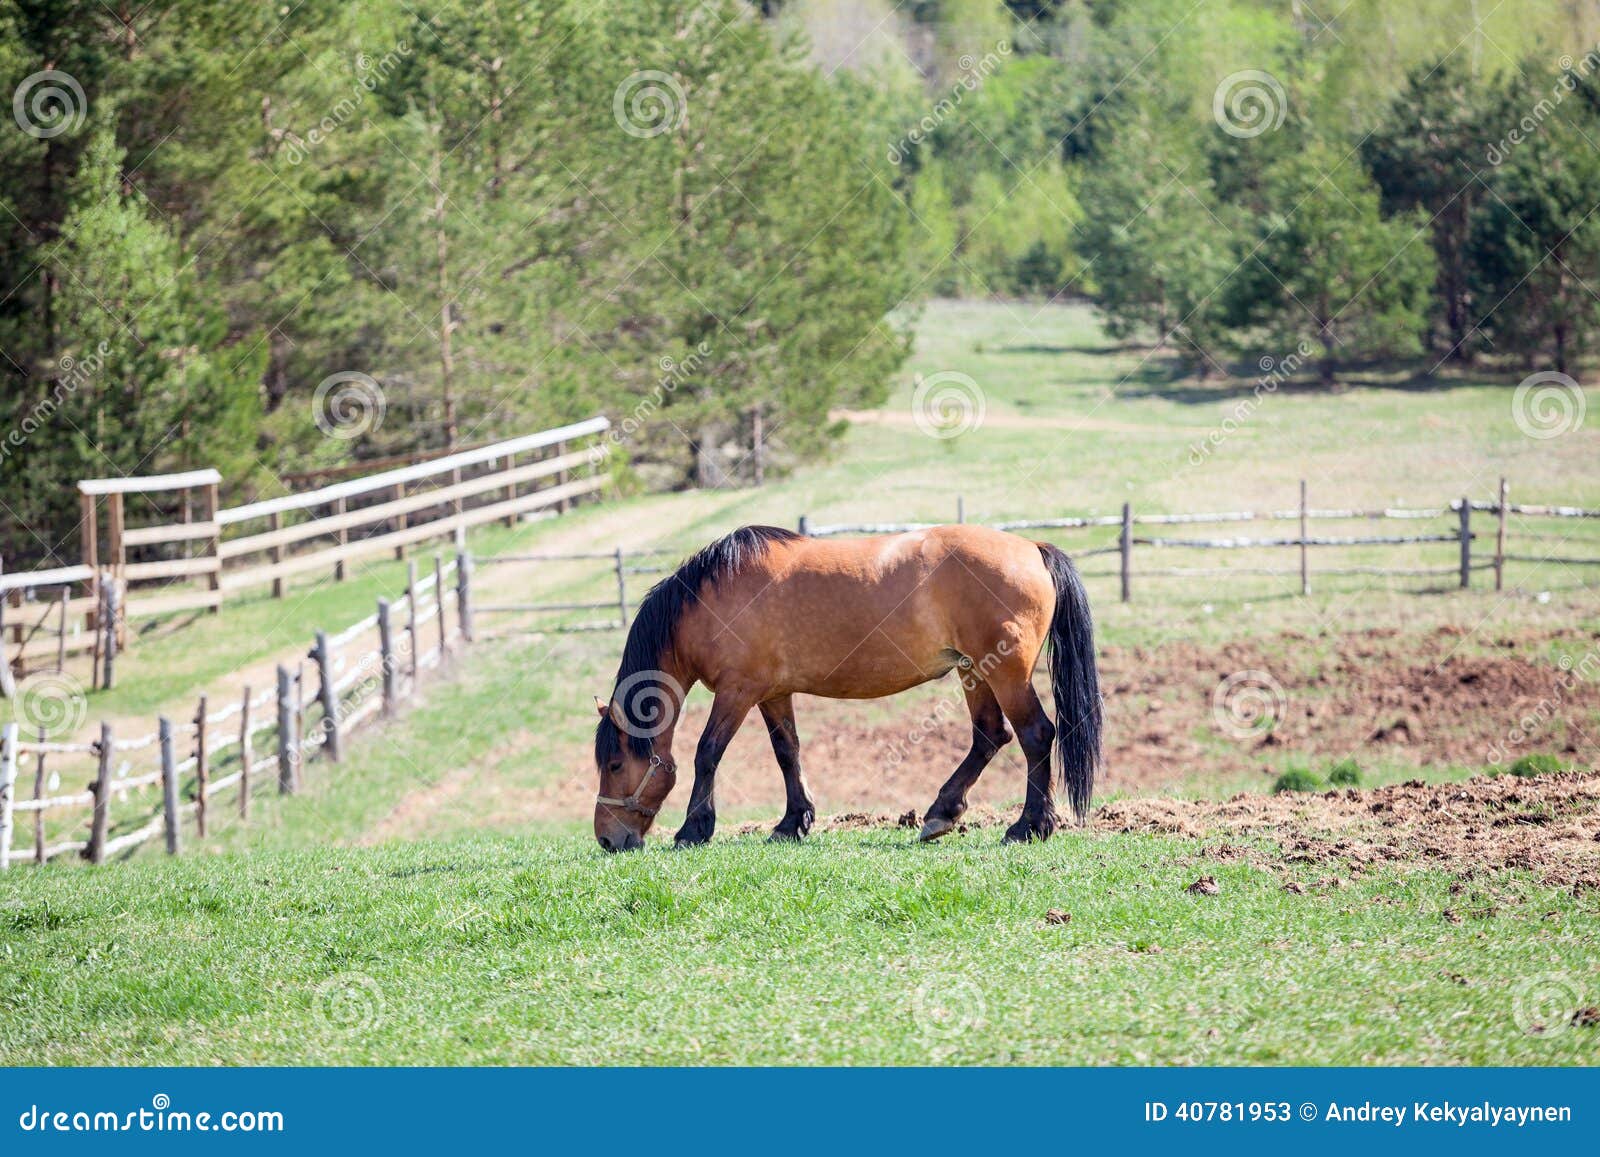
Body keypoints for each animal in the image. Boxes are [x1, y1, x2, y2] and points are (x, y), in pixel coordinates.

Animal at [592, 523, 1101, 852]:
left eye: (615, 763)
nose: (607, 839)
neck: (712, 600)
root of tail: (1032, 547)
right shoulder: (773, 694)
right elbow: (788, 752)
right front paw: (793, 822)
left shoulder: (738, 691)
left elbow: (707, 752)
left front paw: (693, 829)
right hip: (973, 671)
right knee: (990, 736)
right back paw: (942, 812)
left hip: (1005, 674)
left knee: (1036, 735)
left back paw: (1028, 826)